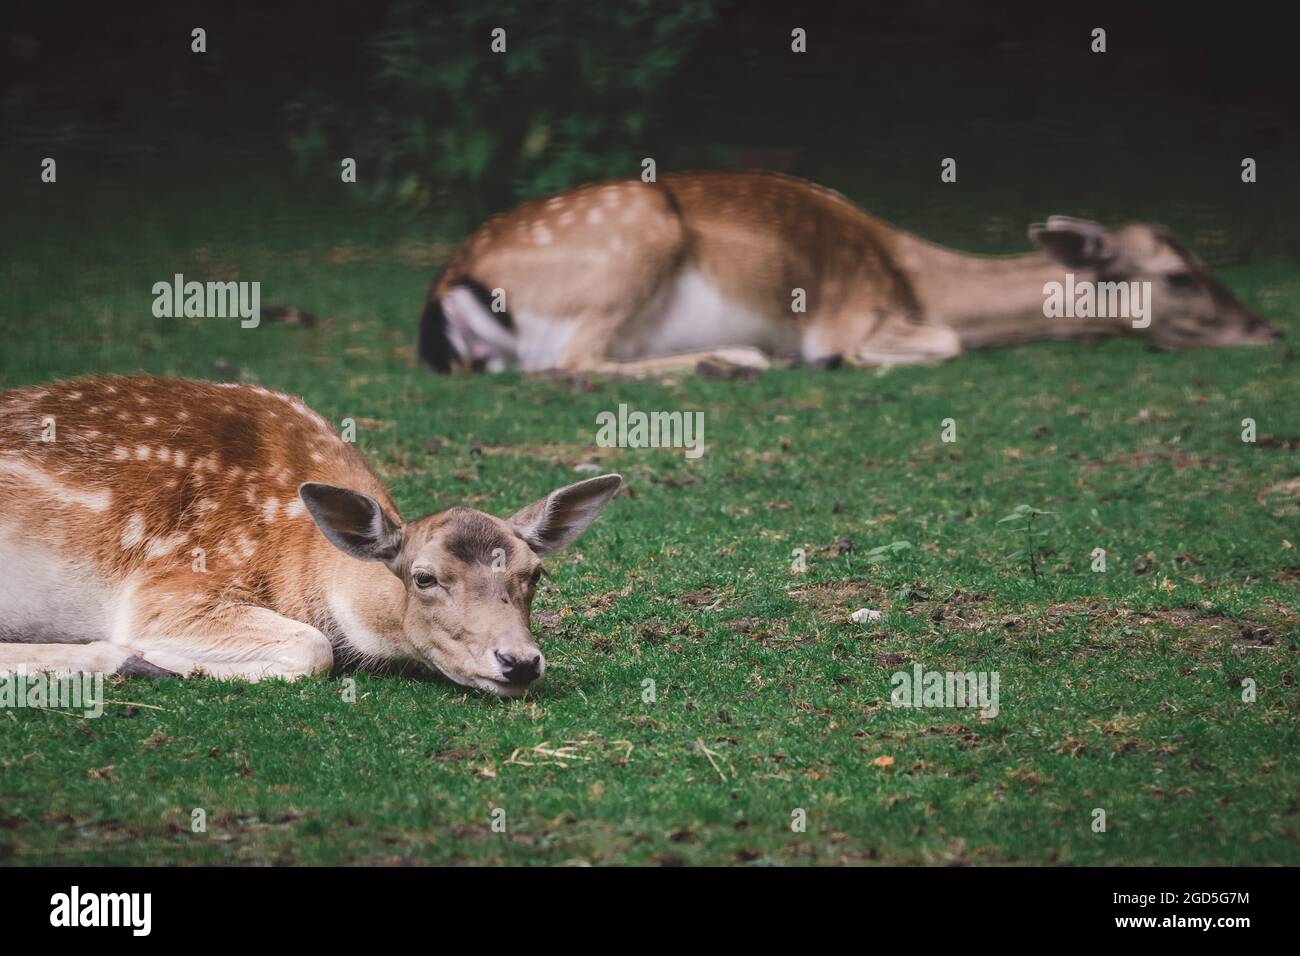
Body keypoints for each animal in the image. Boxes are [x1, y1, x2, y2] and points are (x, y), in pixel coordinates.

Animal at [0, 376, 622, 698]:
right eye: (424, 578)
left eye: (535, 573)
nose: (521, 662)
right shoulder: (170, 586)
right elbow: (313, 646)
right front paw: (153, 657)